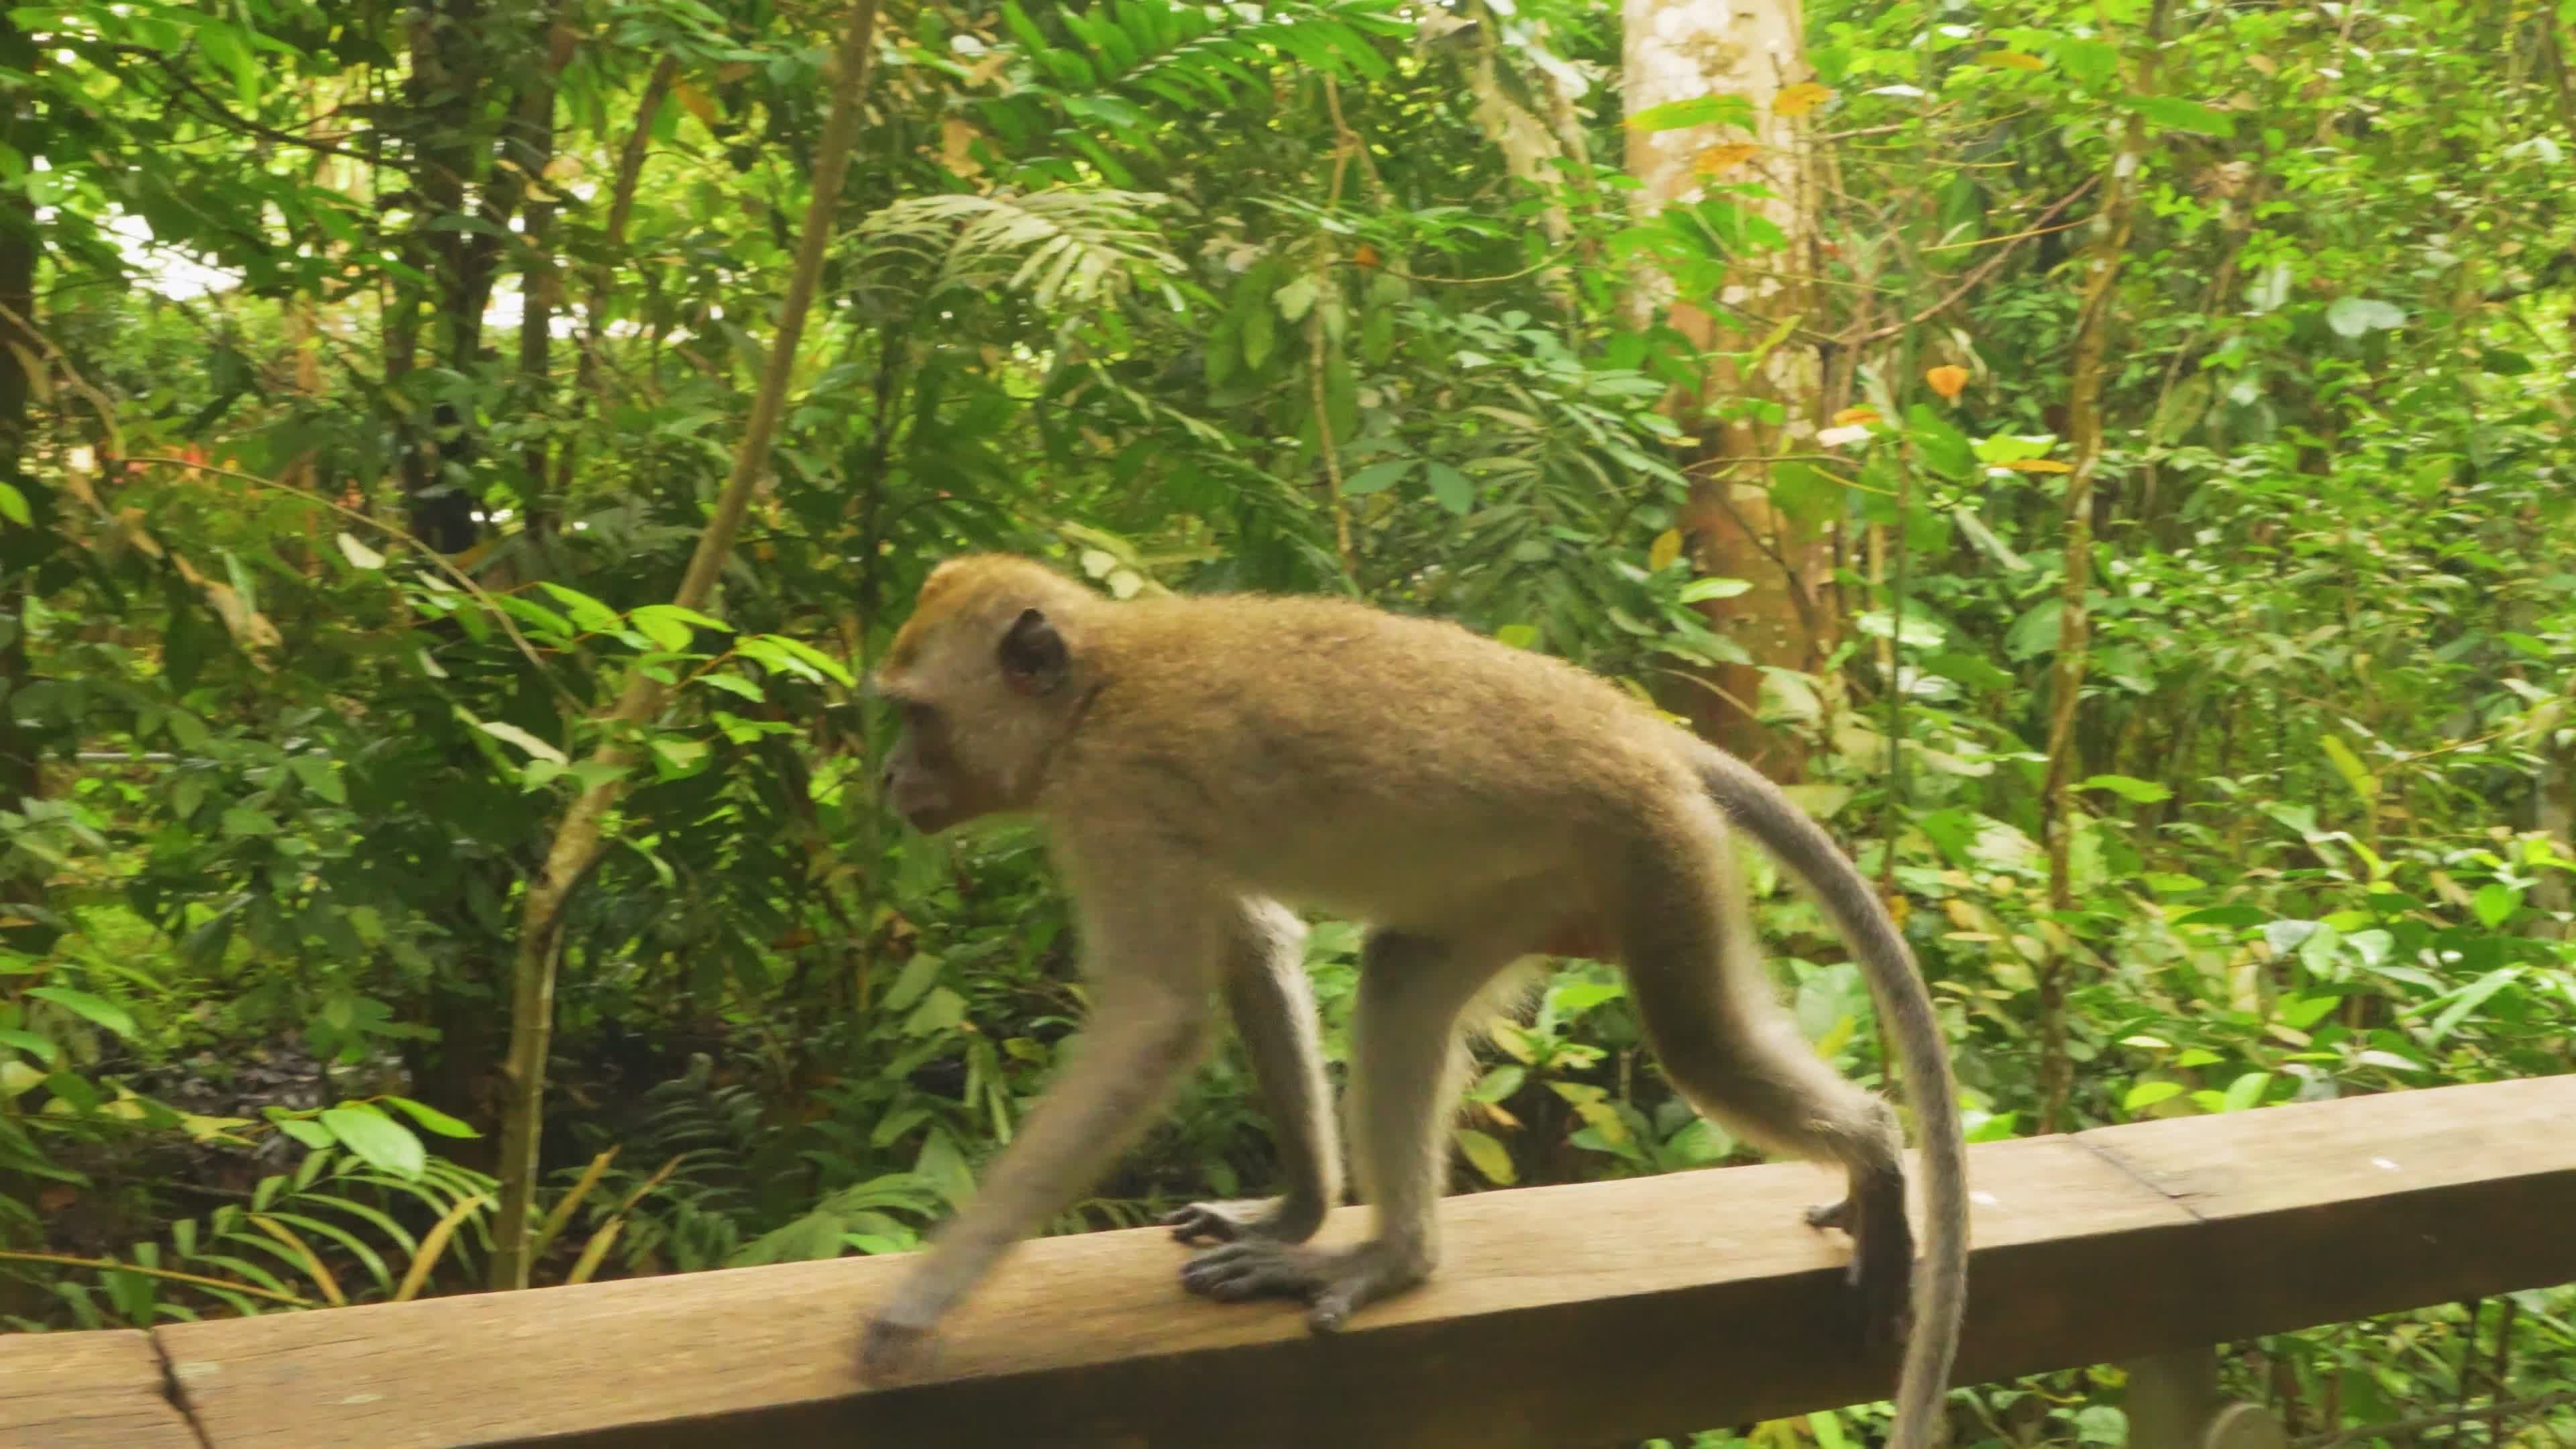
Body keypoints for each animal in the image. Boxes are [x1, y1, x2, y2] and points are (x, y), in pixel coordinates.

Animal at [857, 553, 1967, 1449]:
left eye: (915, 713)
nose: (889, 776)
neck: (1096, 689)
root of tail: (1638, 729)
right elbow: (1256, 948)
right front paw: (1296, 1212)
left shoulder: (1116, 797)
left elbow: (1154, 1023)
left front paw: (915, 1306)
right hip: (1539, 891)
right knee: (1402, 979)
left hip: (1657, 858)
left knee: (1698, 1045)